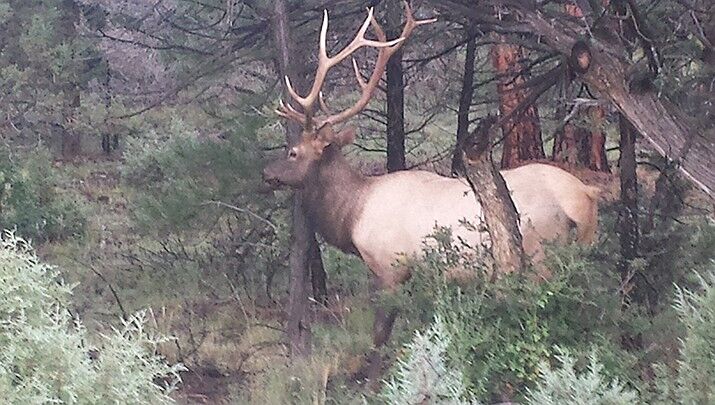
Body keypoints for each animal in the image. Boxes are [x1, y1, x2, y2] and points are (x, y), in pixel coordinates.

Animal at [262, 3, 600, 382]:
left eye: (293, 152)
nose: (267, 173)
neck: (352, 215)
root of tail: (585, 196)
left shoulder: (389, 266)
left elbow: (381, 330)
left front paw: (371, 379)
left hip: (542, 254)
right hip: (581, 248)